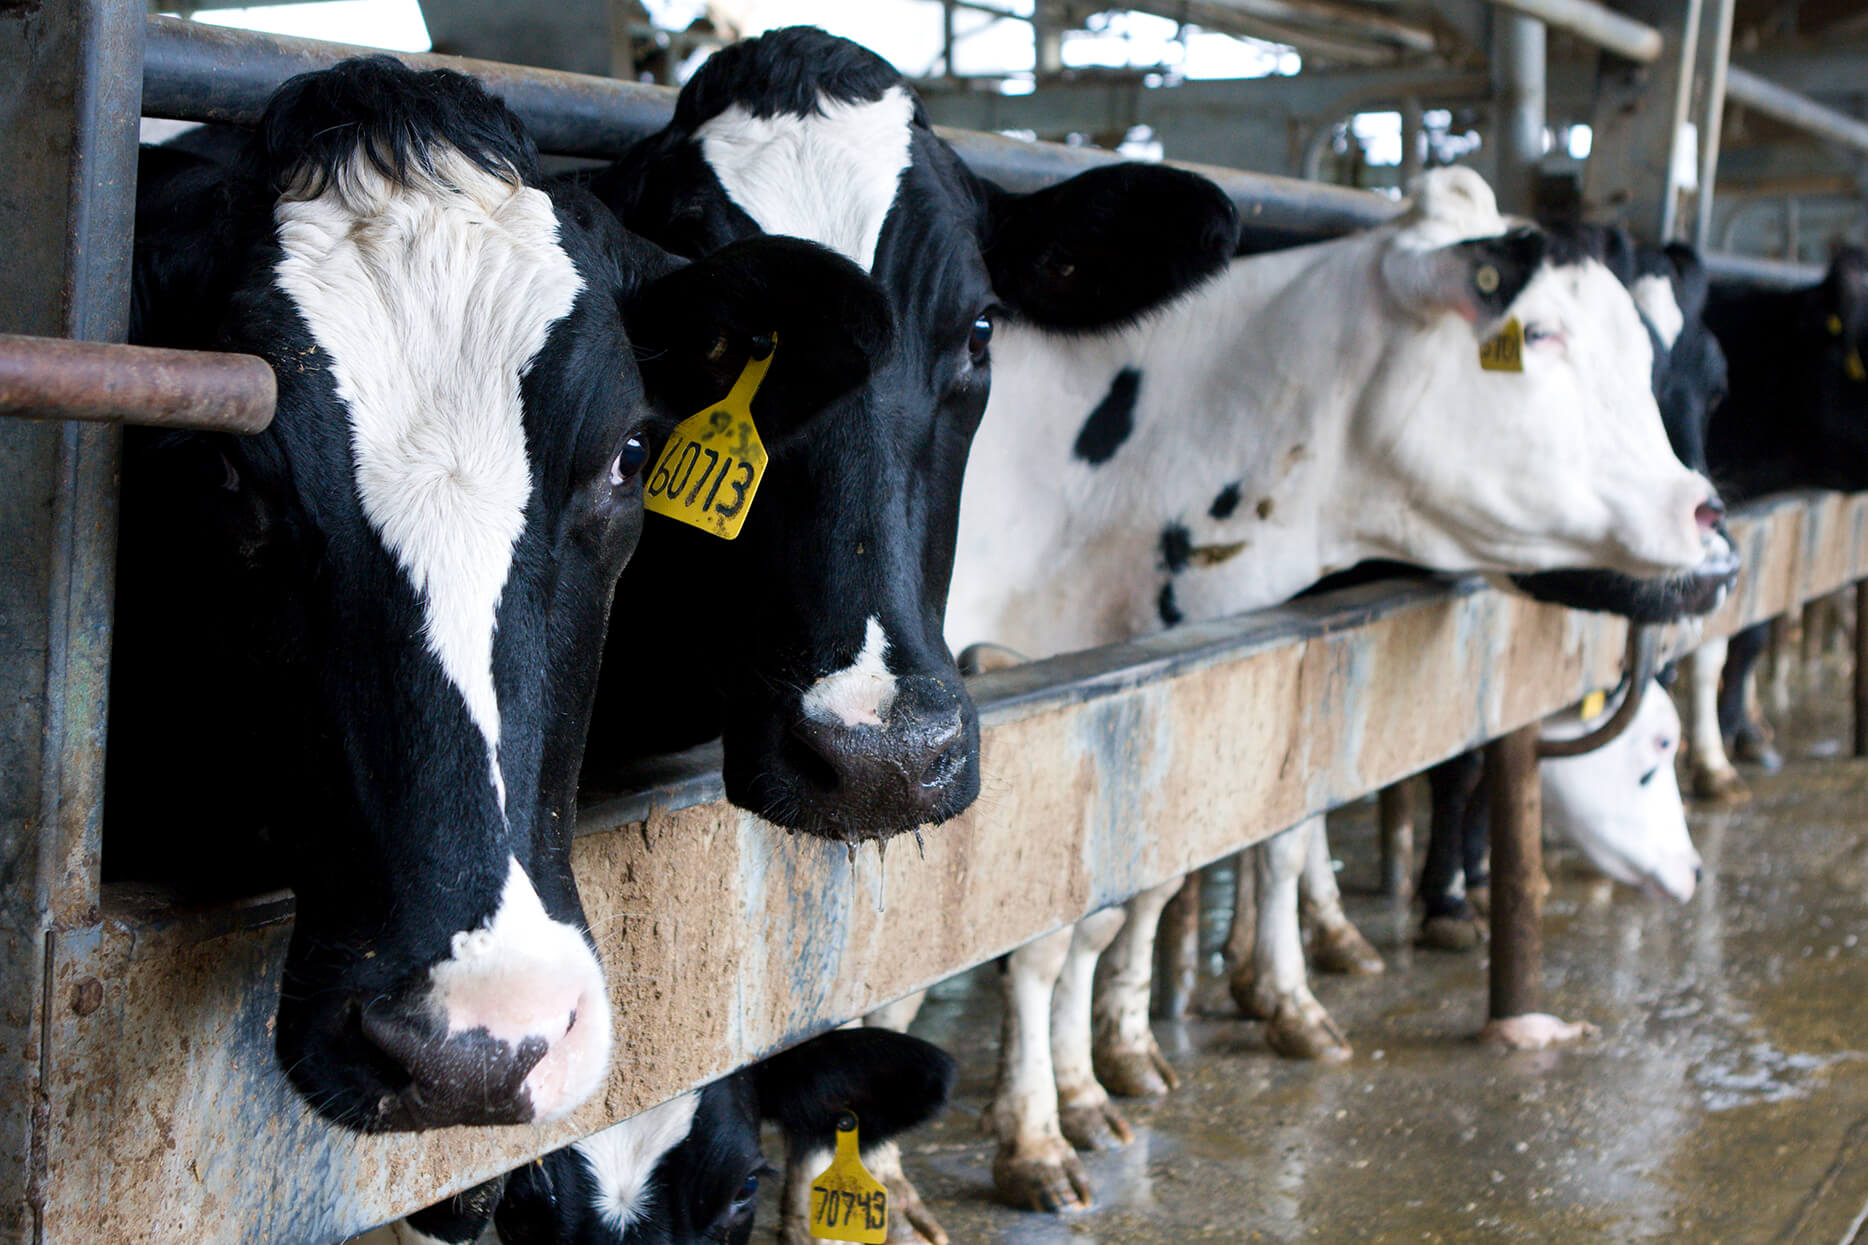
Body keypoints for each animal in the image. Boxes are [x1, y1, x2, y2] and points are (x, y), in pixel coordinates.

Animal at [940, 166, 1734, 1211]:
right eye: (1544, 335)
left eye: (1695, 375)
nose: (1712, 524)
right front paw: (1033, 1135)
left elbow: (1203, 864)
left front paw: (1167, 1042)